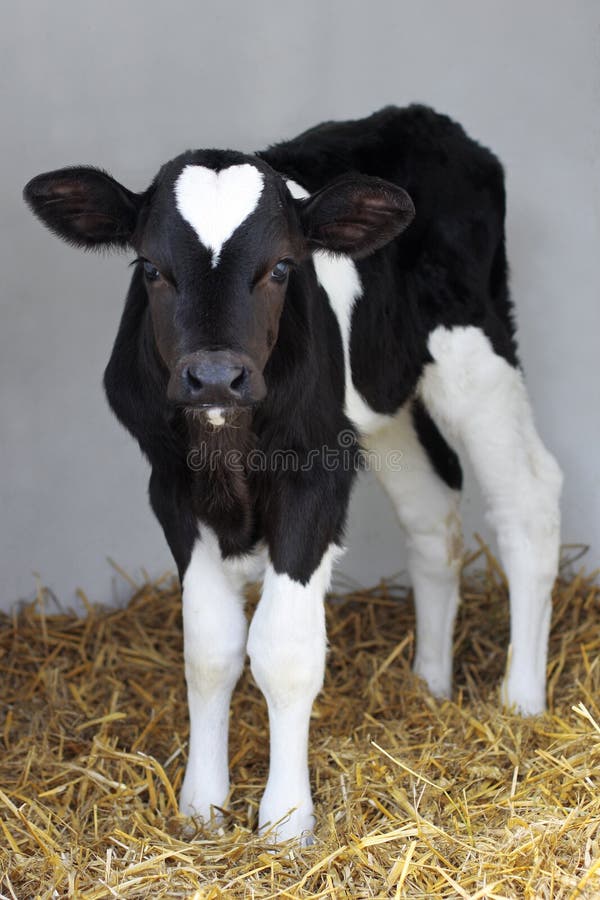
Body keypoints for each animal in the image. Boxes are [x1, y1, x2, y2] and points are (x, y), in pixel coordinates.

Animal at [24, 105, 562, 844]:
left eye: (281, 266)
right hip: (379, 403)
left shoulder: (317, 471)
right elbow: (209, 649)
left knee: (529, 500)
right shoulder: (170, 487)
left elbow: (282, 649)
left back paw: (520, 702)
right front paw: (201, 808)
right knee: (432, 517)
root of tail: (426, 118)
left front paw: (284, 822)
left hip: (473, 351)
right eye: (151, 267)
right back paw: (428, 686)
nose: (213, 375)